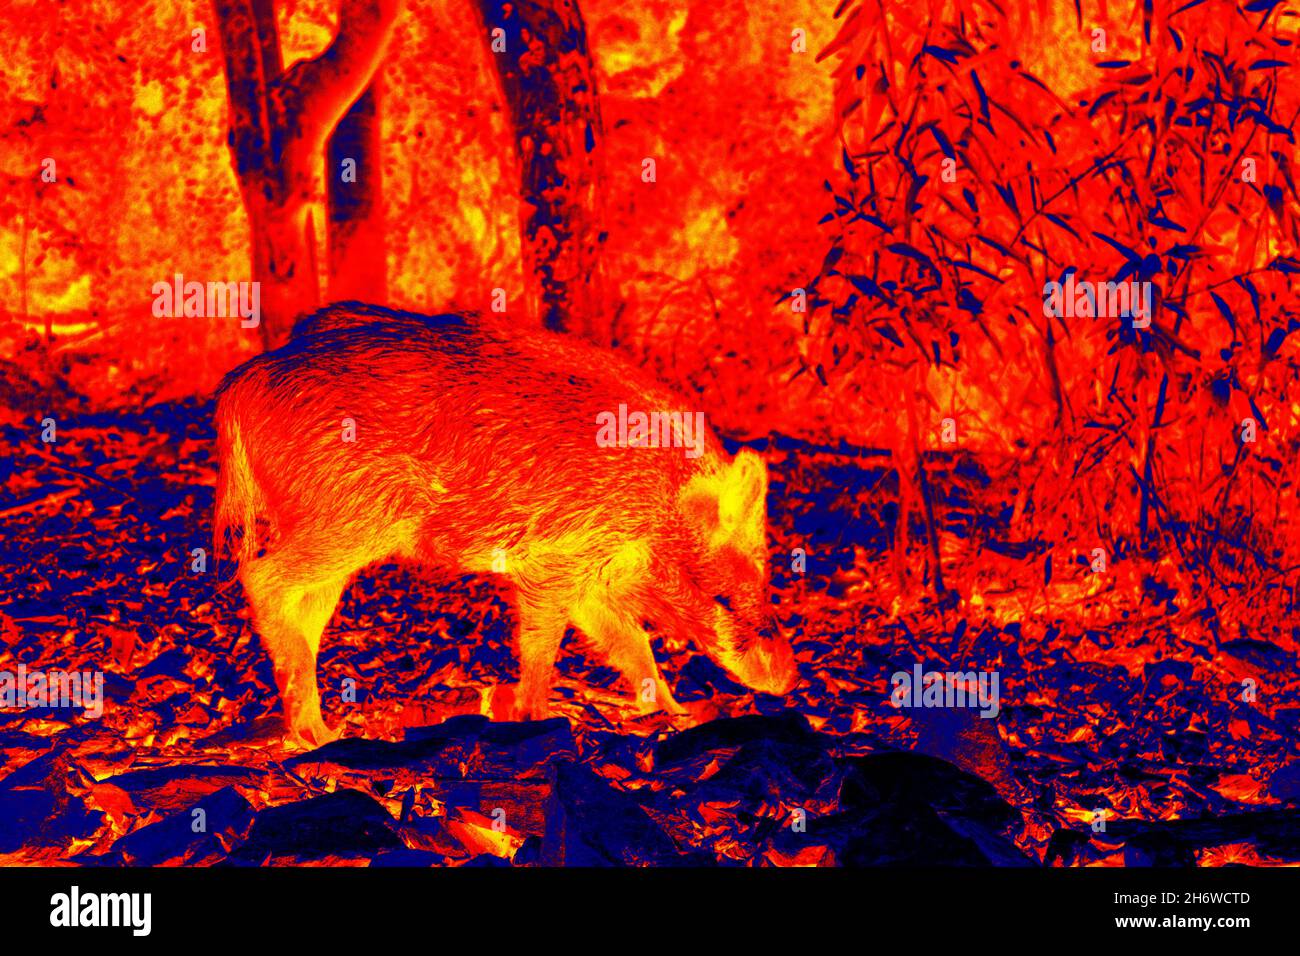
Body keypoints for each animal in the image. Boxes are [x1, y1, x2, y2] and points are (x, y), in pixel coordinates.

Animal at [214, 302, 797, 747]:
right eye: (721, 595)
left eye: (764, 576)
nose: (787, 676)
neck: (656, 505)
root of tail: (238, 390)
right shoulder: (555, 560)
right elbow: (544, 645)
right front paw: (537, 717)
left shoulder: (589, 579)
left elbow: (630, 641)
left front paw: (677, 709)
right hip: (349, 522)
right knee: (262, 578)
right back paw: (316, 734)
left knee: (304, 615)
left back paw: (318, 730)